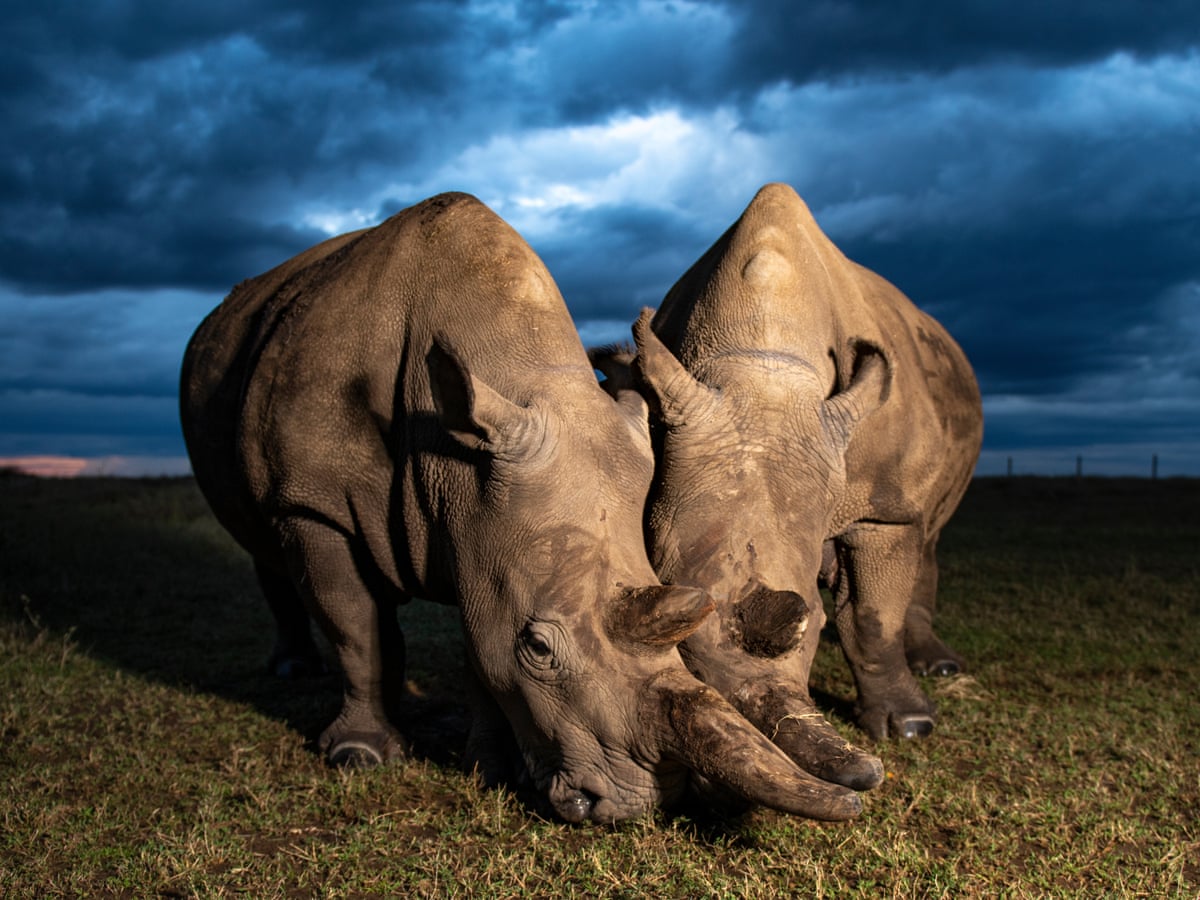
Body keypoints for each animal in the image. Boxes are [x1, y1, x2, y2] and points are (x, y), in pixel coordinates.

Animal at [179, 191, 864, 824]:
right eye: (537, 648)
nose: (627, 808)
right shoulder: (315, 505)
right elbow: (357, 628)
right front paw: (361, 756)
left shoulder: (479, 521)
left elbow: (480, 647)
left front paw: (489, 767)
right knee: (268, 546)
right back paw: (297, 671)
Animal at [596, 183, 982, 777]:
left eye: (813, 626)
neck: (763, 361)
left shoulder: (881, 507)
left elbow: (872, 616)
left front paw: (911, 727)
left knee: (929, 532)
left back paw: (936, 668)